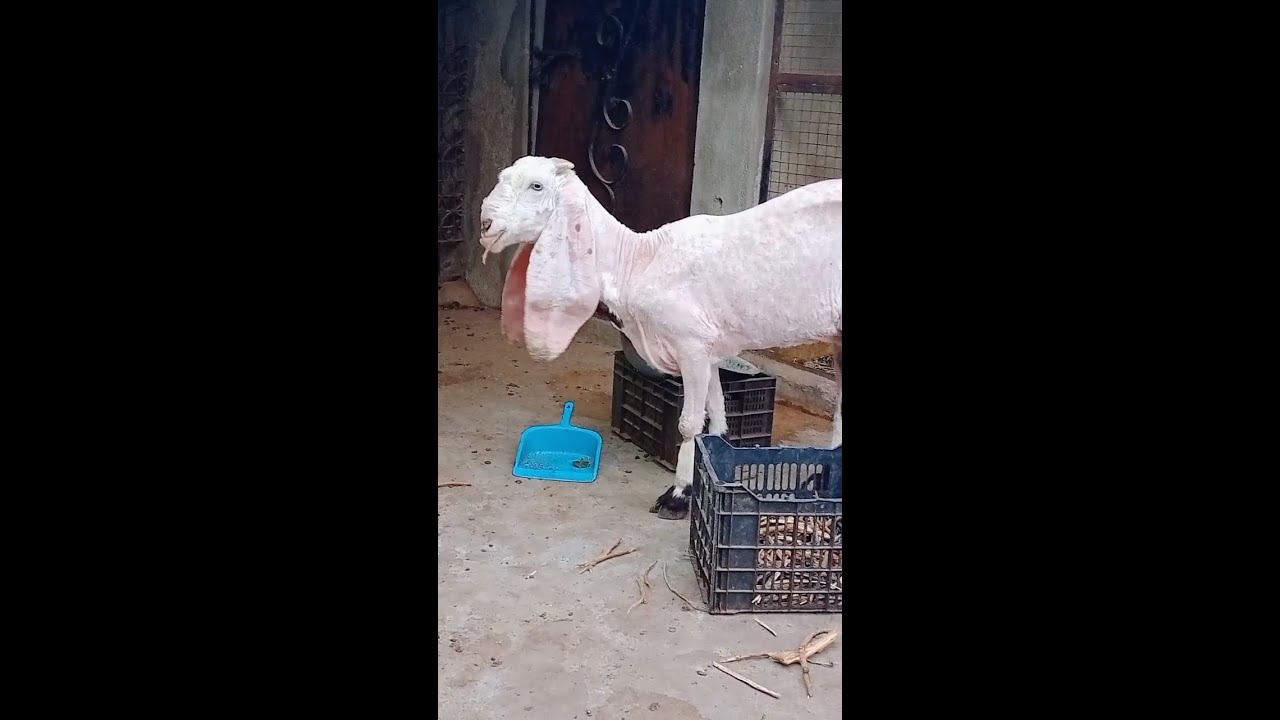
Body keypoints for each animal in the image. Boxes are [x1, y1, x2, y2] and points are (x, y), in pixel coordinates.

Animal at [479, 156, 841, 520]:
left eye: (536, 186)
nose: (485, 225)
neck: (639, 261)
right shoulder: (708, 348)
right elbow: (716, 415)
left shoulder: (691, 345)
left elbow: (690, 425)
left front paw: (678, 494)